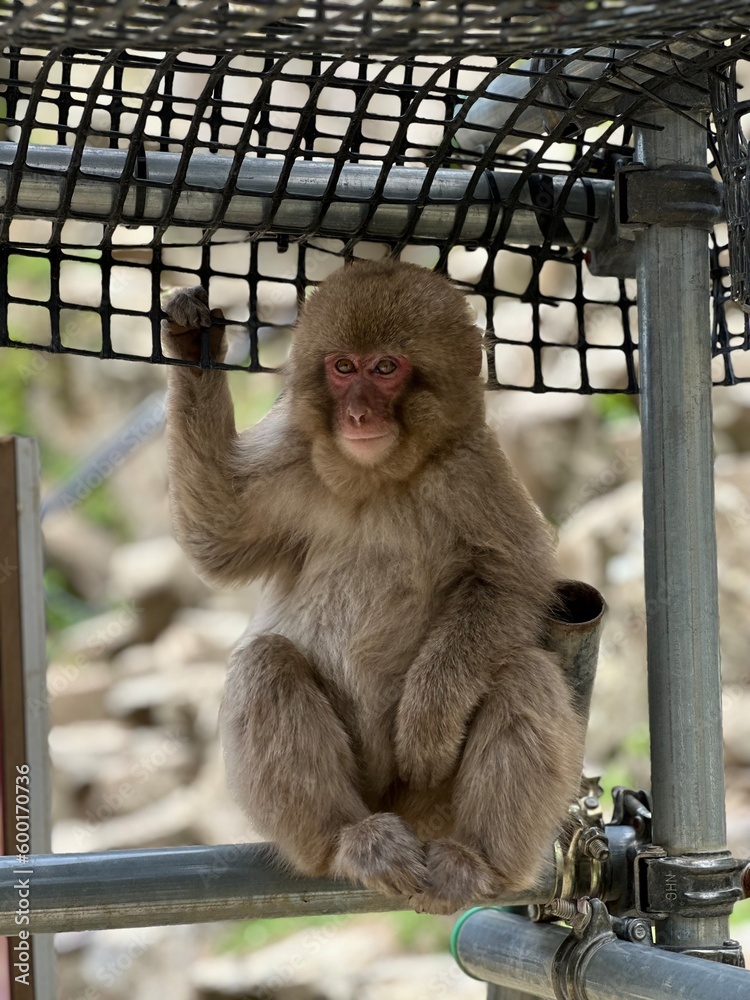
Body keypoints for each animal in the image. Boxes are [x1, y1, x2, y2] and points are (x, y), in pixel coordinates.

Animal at [161, 259, 584, 915]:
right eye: (343, 367)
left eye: (385, 369)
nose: (358, 415)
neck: (379, 478)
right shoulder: (292, 456)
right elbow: (219, 534)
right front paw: (192, 345)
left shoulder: (473, 469)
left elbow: (510, 580)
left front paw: (428, 719)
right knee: (266, 663)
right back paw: (347, 840)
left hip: (434, 804)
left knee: (523, 671)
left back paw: (479, 860)